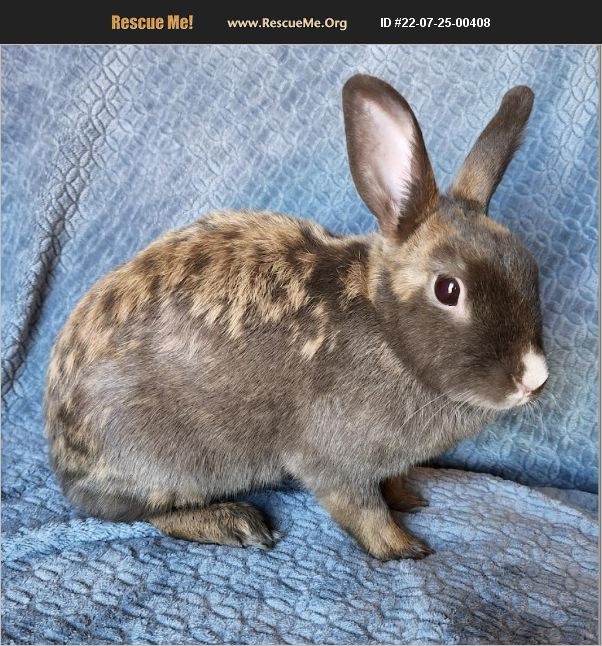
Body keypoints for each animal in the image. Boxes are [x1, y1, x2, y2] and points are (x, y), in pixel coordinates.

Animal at [45, 74, 548, 560]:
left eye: (530, 269)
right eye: (449, 290)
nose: (534, 378)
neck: (389, 334)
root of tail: (62, 454)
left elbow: (390, 483)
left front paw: (408, 499)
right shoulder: (335, 459)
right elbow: (360, 507)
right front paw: (402, 548)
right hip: (169, 464)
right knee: (143, 513)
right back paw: (234, 523)